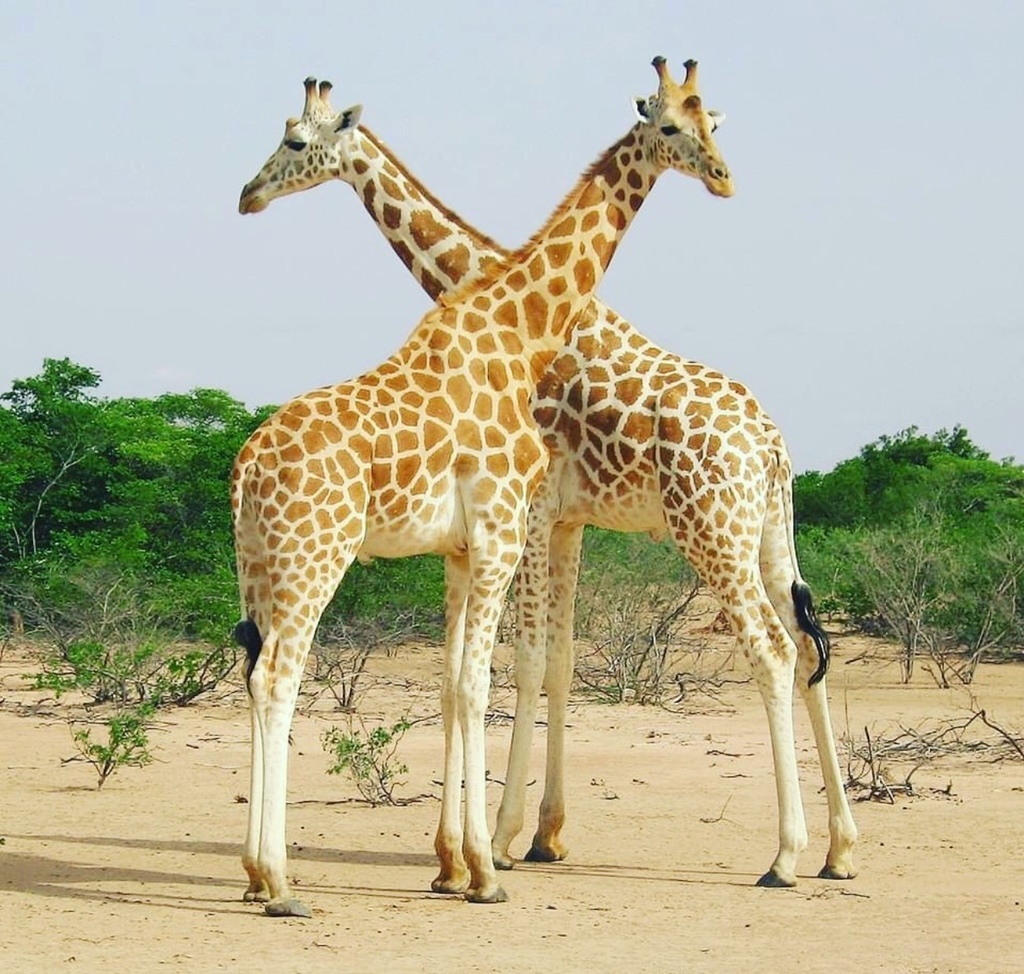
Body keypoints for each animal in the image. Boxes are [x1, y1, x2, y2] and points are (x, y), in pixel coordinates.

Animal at [238, 67, 857, 889]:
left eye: (294, 141)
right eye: (675, 125)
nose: (249, 194)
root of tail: (770, 442)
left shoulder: (532, 514)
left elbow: (523, 665)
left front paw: (499, 842)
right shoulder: (558, 521)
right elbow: (546, 666)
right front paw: (532, 837)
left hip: (713, 529)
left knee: (776, 648)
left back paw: (787, 855)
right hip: (765, 534)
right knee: (810, 645)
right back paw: (839, 849)